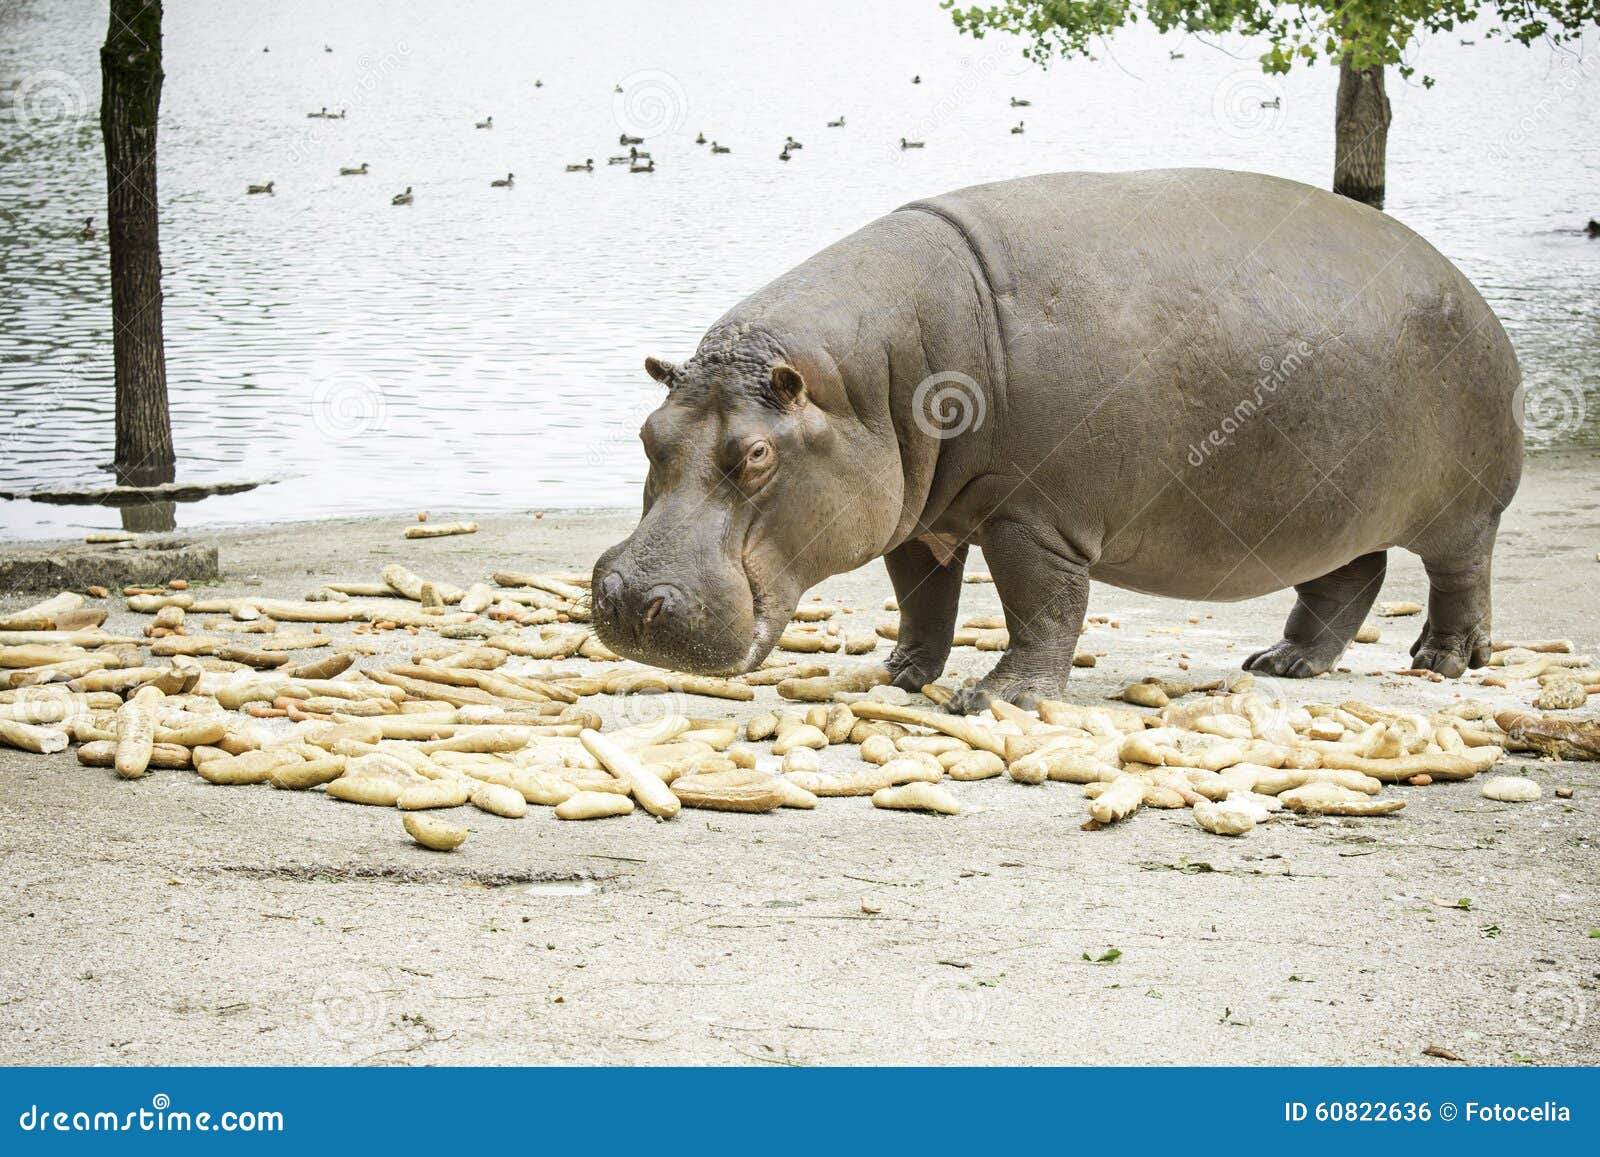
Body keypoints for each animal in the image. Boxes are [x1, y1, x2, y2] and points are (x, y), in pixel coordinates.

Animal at [592, 169, 1522, 712]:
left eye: (755, 454)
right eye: (647, 433)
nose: (630, 598)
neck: (871, 385)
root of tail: (1464, 281)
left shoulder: (1032, 518)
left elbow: (1042, 608)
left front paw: (991, 699)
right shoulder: (919, 517)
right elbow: (921, 599)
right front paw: (897, 675)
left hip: (1461, 507)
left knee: (1458, 573)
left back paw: (1442, 661)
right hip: (1325, 506)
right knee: (1348, 577)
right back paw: (1283, 664)